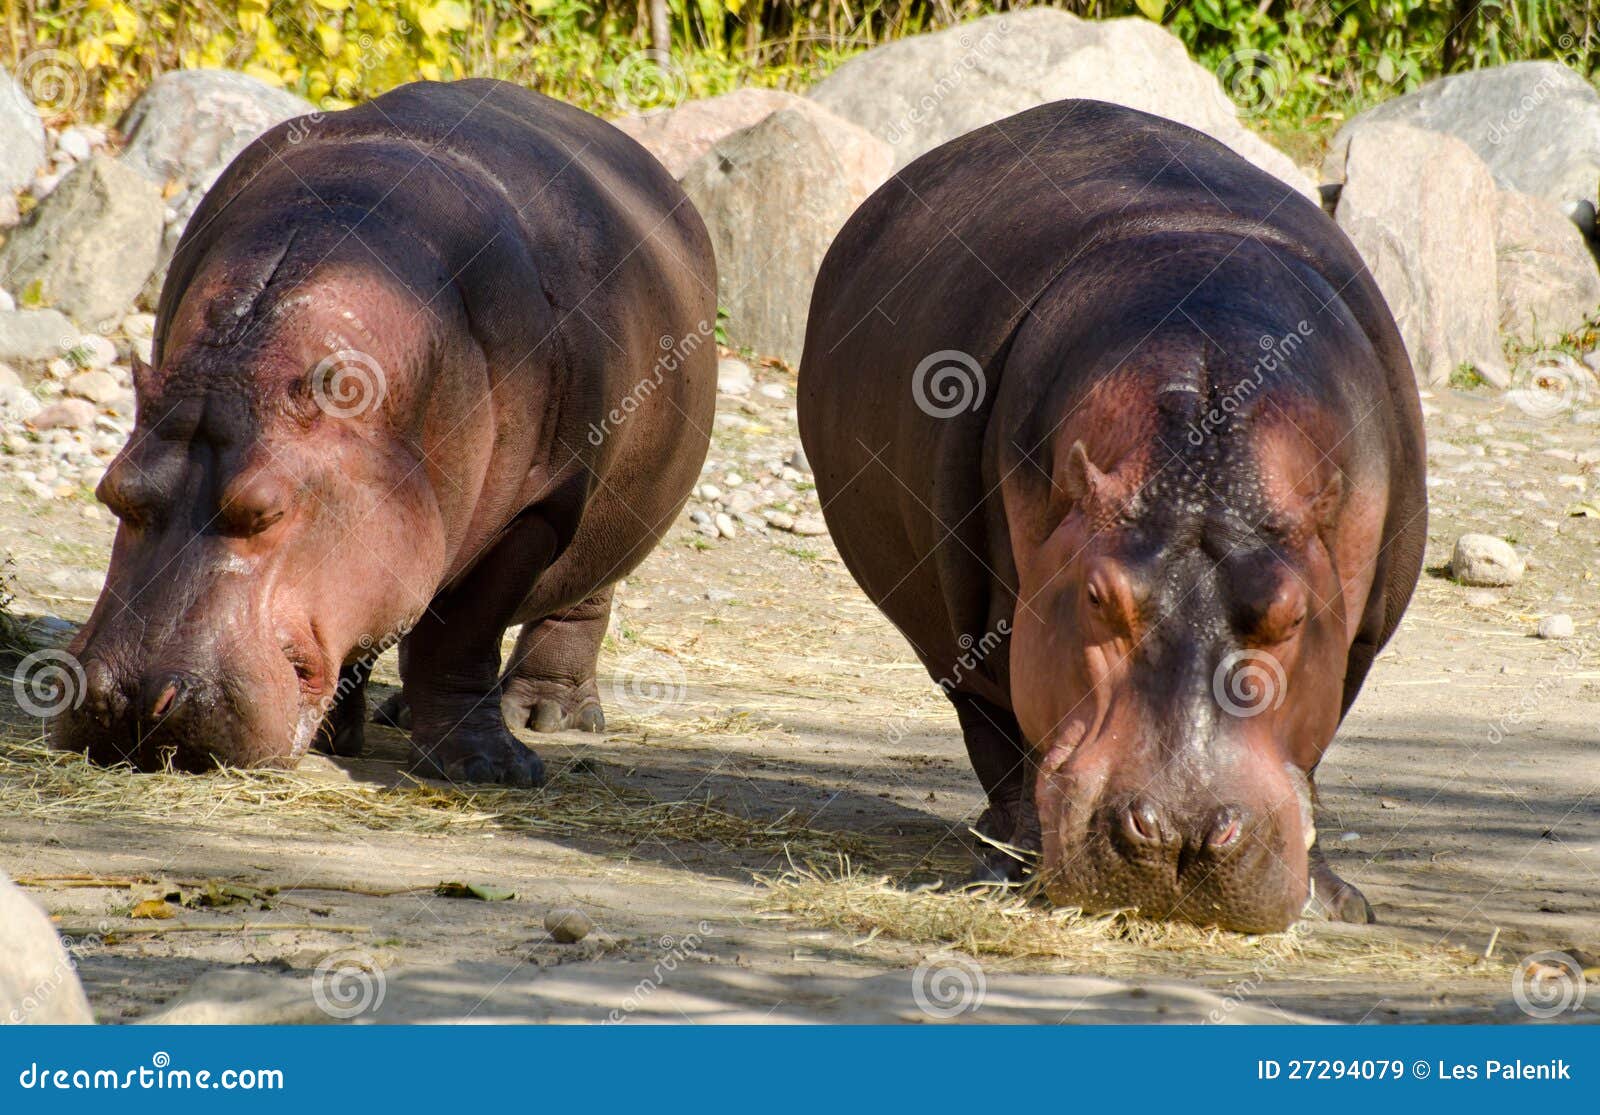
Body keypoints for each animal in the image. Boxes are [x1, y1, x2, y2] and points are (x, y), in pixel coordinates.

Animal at [54, 80, 716, 785]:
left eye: (268, 511)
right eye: (112, 492)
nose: (127, 700)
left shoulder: (533, 515)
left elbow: (461, 634)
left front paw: (491, 769)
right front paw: (339, 736)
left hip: (612, 513)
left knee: (582, 598)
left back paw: (546, 714)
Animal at [797, 100, 1425, 932]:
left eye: (1292, 614)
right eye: (1096, 595)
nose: (1183, 833)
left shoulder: (1353, 635)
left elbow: (1313, 755)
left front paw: (1339, 904)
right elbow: (1014, 736)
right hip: (948, 629)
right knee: (990, 728)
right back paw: (1001, 857)